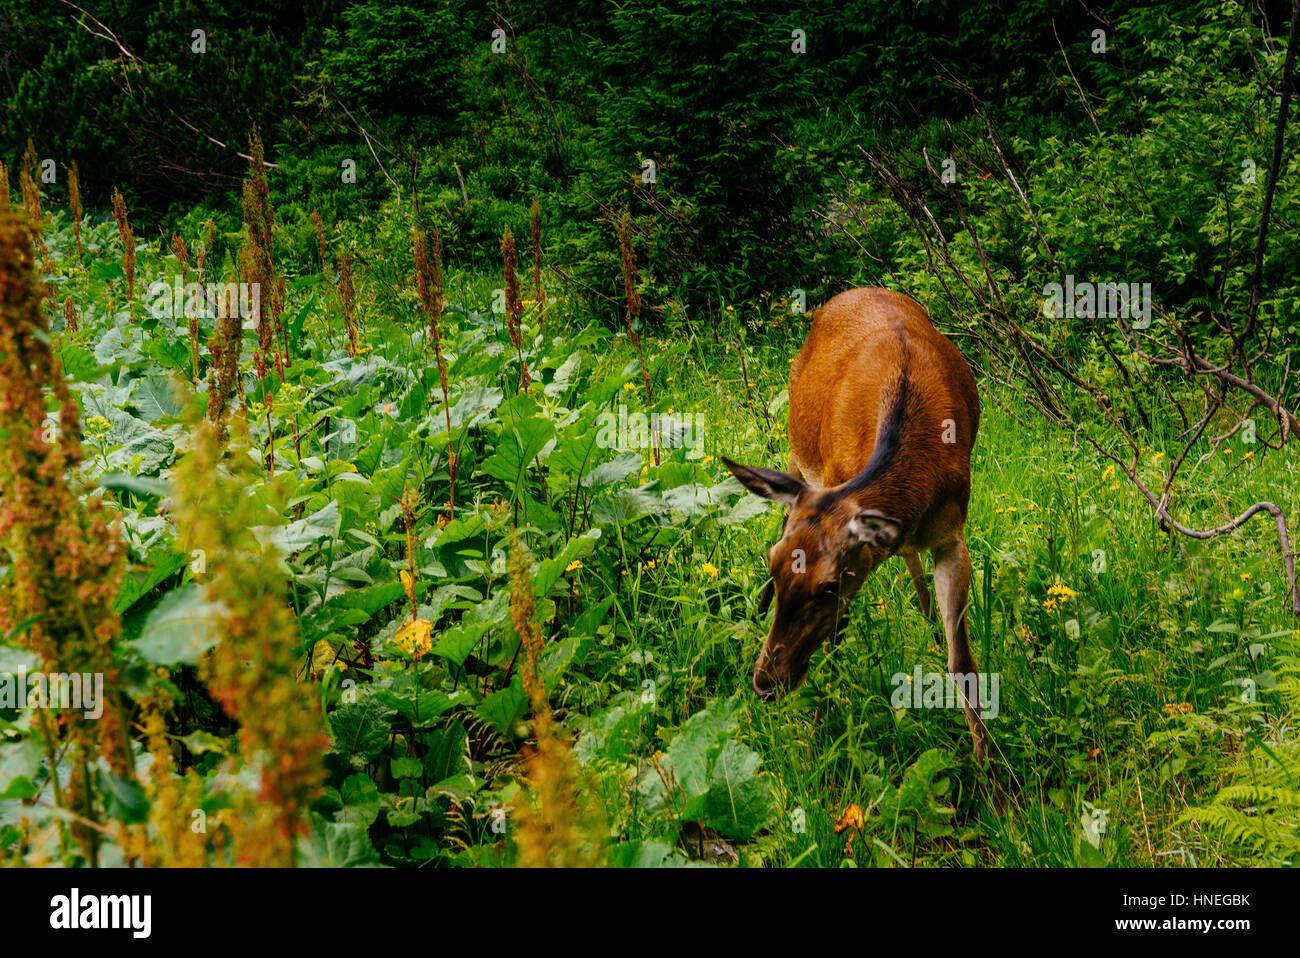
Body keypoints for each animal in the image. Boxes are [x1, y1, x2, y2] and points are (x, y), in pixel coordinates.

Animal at [722, 286, 988, 763]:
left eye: (828, 585)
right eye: (771, 562)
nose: (765, 683)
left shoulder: (952, 533)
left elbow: (963, 662)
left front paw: (988, 766)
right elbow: (836, 634)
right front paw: (821, 721)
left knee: (908, 557)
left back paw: (929, 623)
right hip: (797, 453)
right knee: (784, 513)